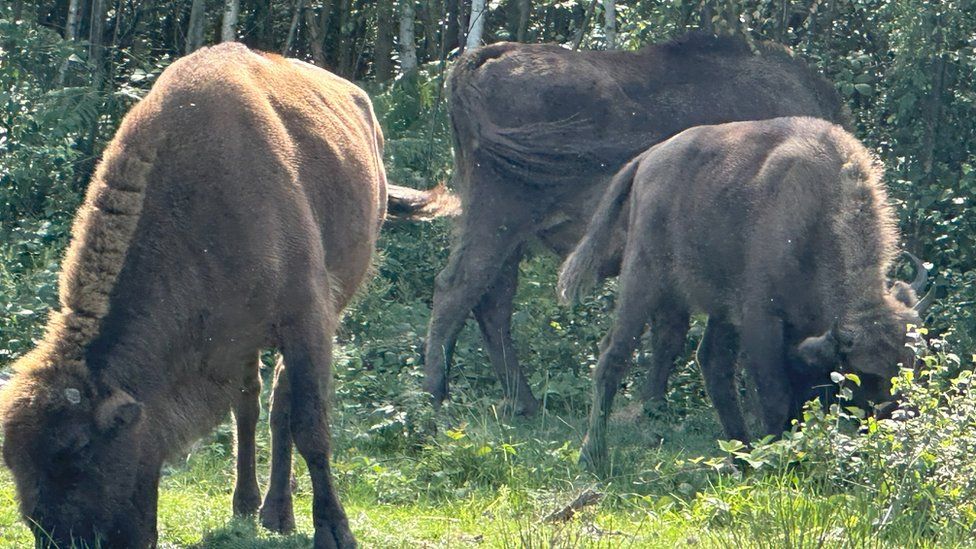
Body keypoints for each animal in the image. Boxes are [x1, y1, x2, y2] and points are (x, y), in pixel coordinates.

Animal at [0, 43, 386, 548]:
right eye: (12, 461)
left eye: (79, 449)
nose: (60, 539)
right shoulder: (229, 338)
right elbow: (250, 408)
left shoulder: (308, 320)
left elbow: (310, 424)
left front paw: (335, 530)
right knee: (250, 405)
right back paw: (252, 507)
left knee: (280, 403)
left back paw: (277, 513)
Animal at [422, 32, 850, 416]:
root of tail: (485, 58)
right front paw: (653, 406)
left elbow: (670, 332)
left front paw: (651, 402)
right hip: (499, 219)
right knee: (456, 290)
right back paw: (433, 402)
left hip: (507, 235)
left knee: (491, 303)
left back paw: (523, 404)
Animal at [557, 117, 930, 469]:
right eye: (868, 373)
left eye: (913, 361)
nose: (903, 421)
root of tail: (646, 159)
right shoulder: (761, 320)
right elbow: (775, 395)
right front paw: (782, 457)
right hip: (643, 277)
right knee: (614, 354)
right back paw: (593, 455)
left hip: (715, 307)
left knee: (709, 362)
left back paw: (742, 455)